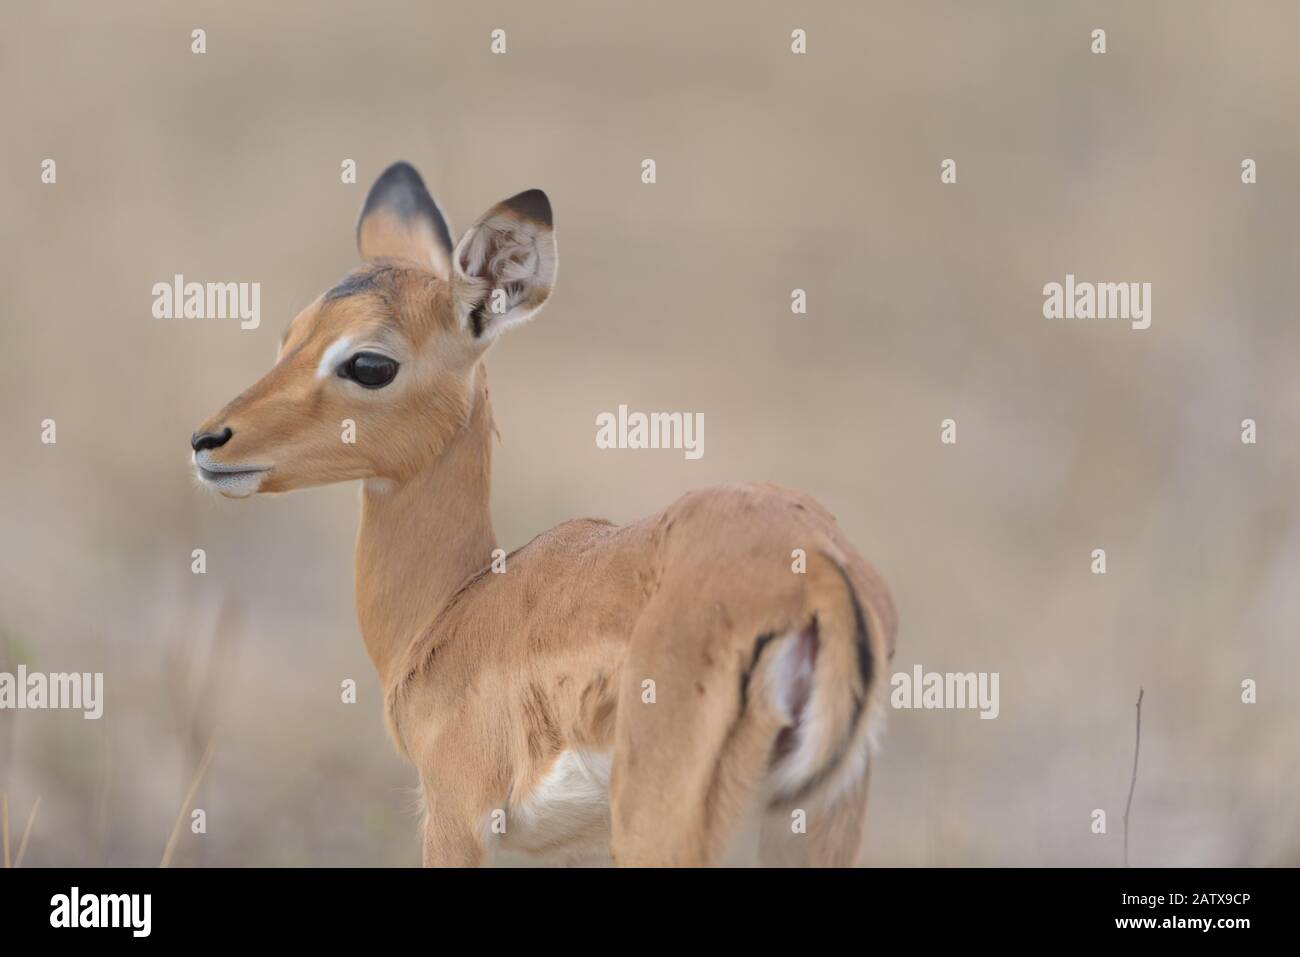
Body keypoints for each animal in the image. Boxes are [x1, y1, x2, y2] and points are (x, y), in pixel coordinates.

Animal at [191, 162, 897, 866]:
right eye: (292, 334)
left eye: (369, 362)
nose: (208, 441)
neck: (457, 604)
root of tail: (817, 574)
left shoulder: (454, 818)